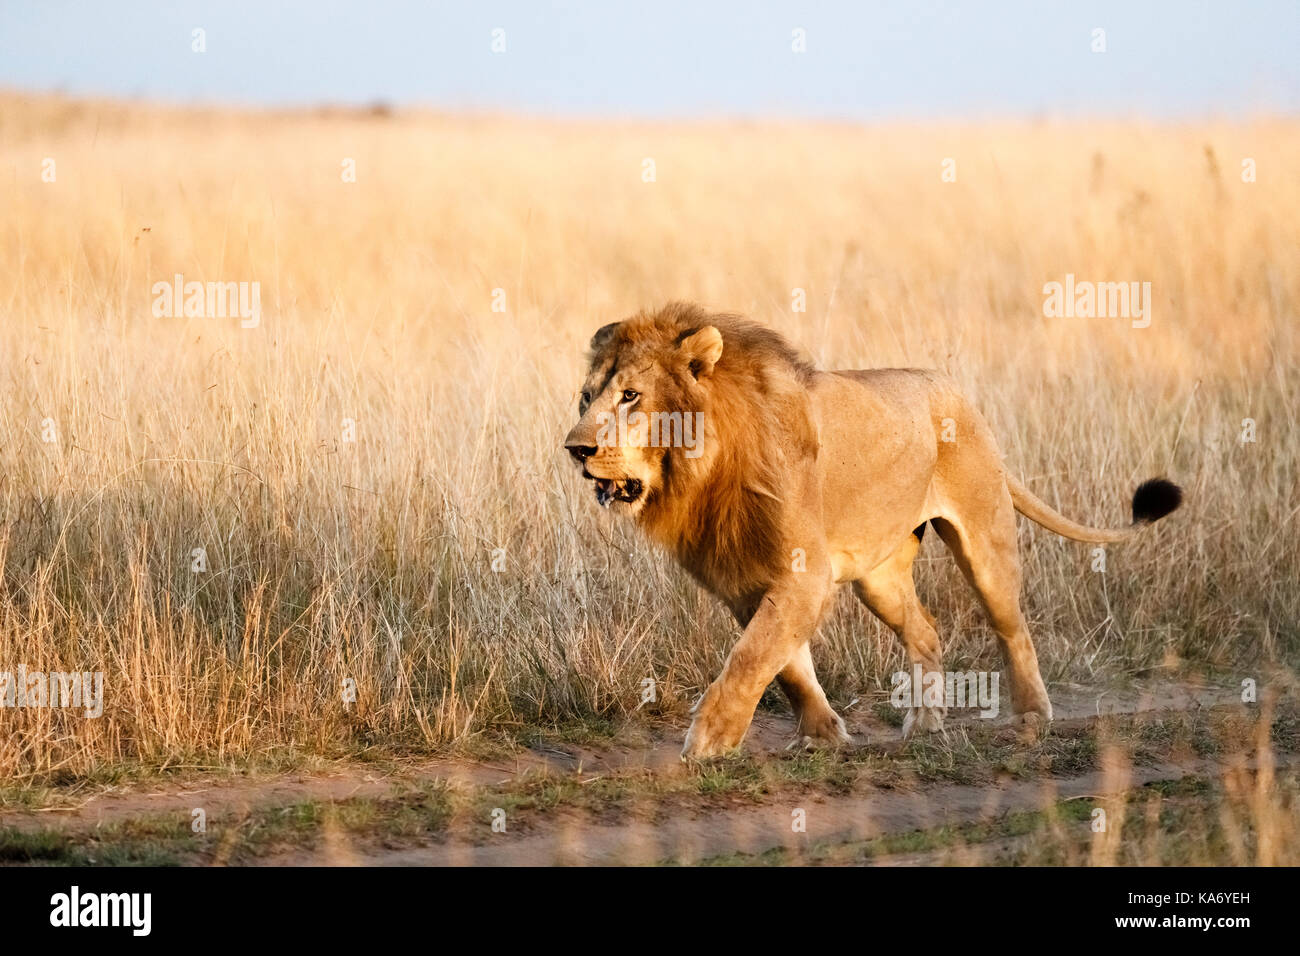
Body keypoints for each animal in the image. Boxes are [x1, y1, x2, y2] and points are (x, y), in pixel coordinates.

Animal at [563, 302, 1182, 759]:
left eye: (631, 395)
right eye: (586, 397)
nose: (575, 449)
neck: (702, 472)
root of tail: (956, 389)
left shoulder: (803, 573)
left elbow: (750, 659)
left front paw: (709, 740)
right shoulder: (743, 581)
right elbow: (785, 665)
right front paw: (824, 735)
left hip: (985, 541)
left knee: (1012, 627)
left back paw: (1032, 718)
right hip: (878, 577)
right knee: (927, 631)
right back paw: (926, 723)